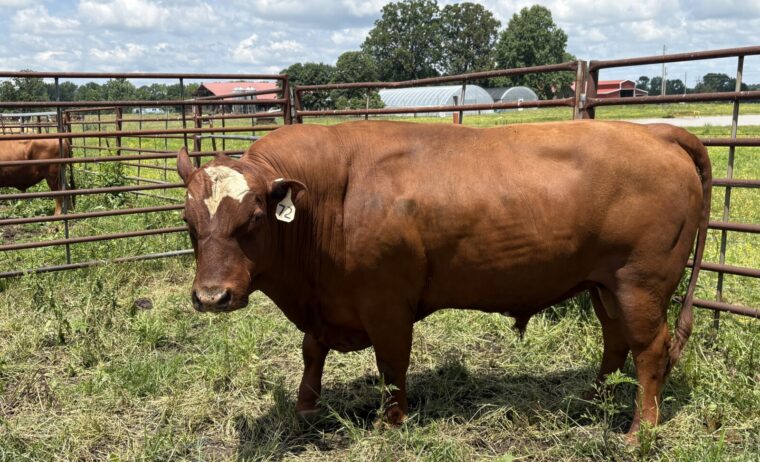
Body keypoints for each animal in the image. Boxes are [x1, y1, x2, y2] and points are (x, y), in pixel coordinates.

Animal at [176, 120, 711, 441]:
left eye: (254, 219)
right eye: (187, 221)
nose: (212, 296)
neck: (333, 196)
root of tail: (655, 131)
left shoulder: (387, 304)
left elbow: (392, 364)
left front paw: (391, 423)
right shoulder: (326, 302)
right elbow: (312, 351)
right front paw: (306, 409)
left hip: (640, 284)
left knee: (649, 350)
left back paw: (639, 432)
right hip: (605, 286)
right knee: (615, 341)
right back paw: (590, 399)